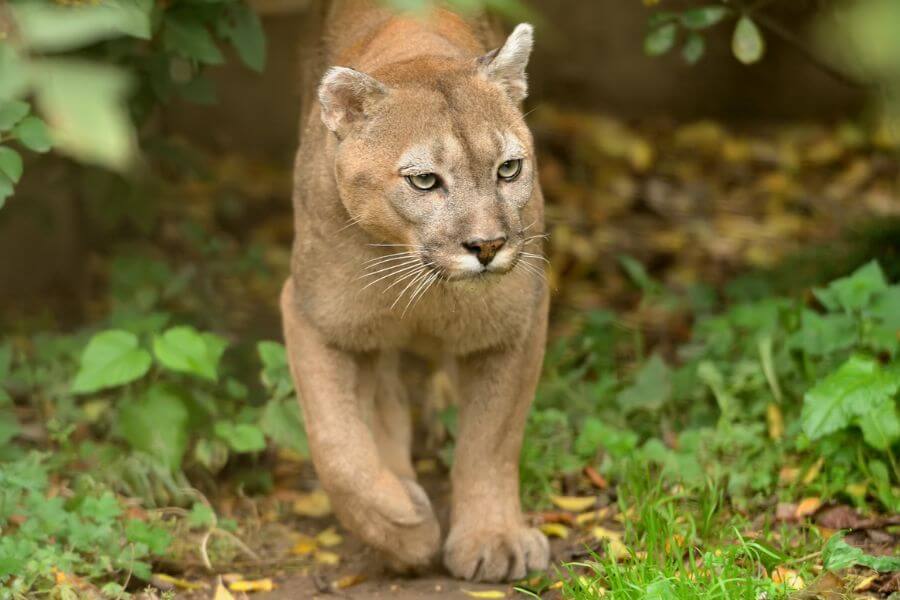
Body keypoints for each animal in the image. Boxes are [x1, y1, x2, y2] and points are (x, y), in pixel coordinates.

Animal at [280, 0, 549, 582]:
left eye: (508, 168)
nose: (488, 245)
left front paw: (493, 539)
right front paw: (404, 526)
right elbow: (337, 445)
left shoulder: (515, 319)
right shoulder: (317, 317)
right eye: (424, 181)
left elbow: (492, 438)